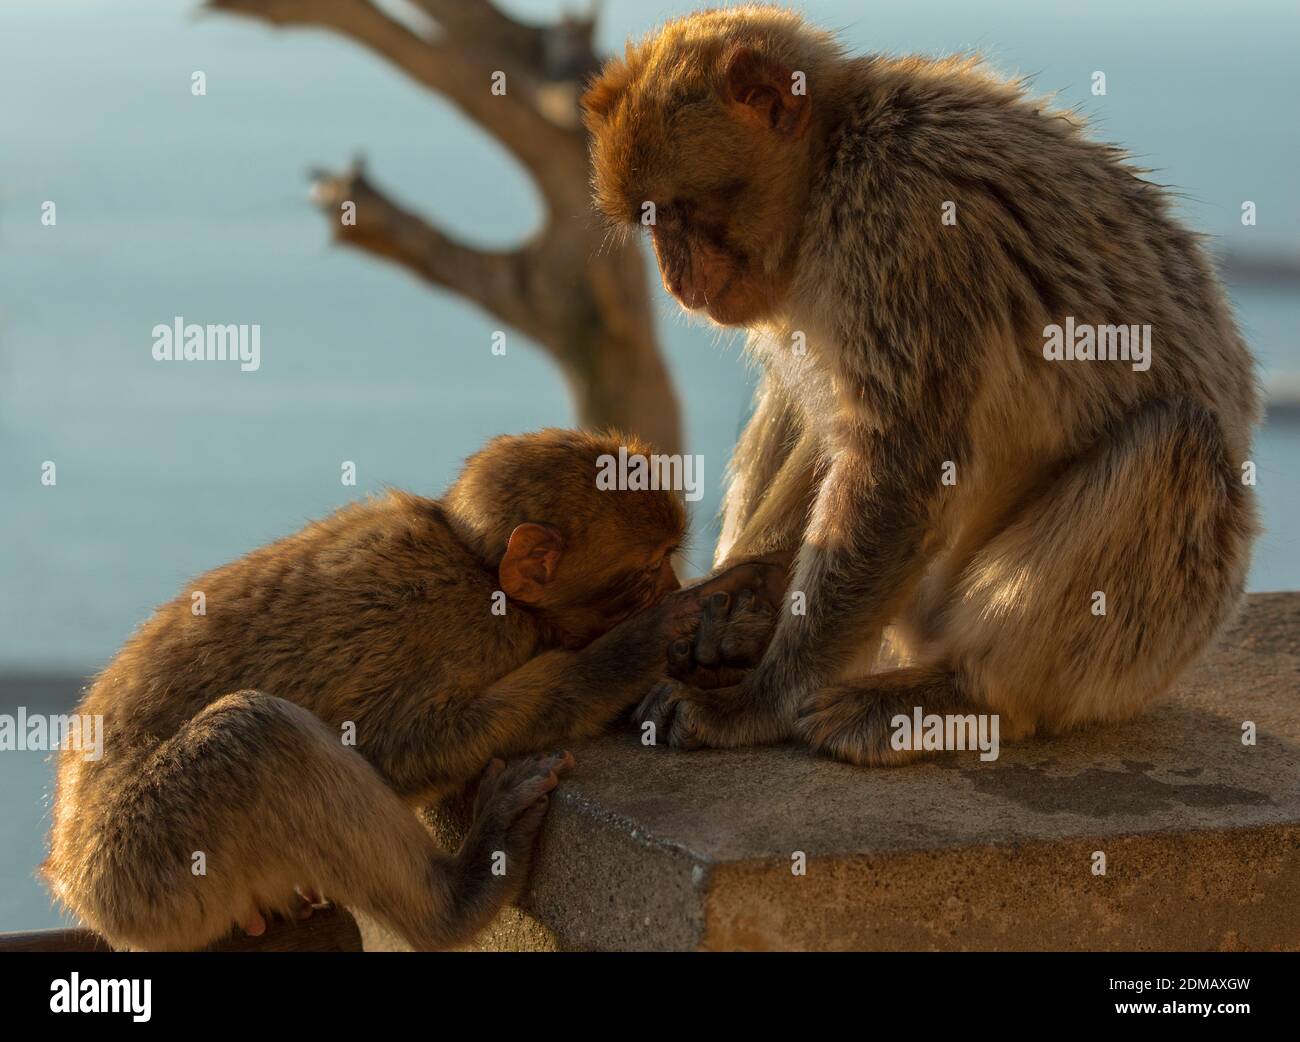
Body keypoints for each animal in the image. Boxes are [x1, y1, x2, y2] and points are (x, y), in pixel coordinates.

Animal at [42, 428, 782, 950]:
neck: (478, 567)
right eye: (650, 568)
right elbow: (393, 749)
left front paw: (720, 643)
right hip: (137, 869)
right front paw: (635, 650)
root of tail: (67, 870)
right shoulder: (457, 624)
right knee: (255, 733)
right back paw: (457, 901)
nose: (673, 585)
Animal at [582, 6, 1260, 766]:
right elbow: (832, 427)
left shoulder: (903, 230)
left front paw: (755, 703)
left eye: (677, 212)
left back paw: (966, 693)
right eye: (651, 222)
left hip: (1150, 642)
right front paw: (739, 597)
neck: (834, 162)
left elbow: (902, 462)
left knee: (1179, 443)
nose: (675, 280)